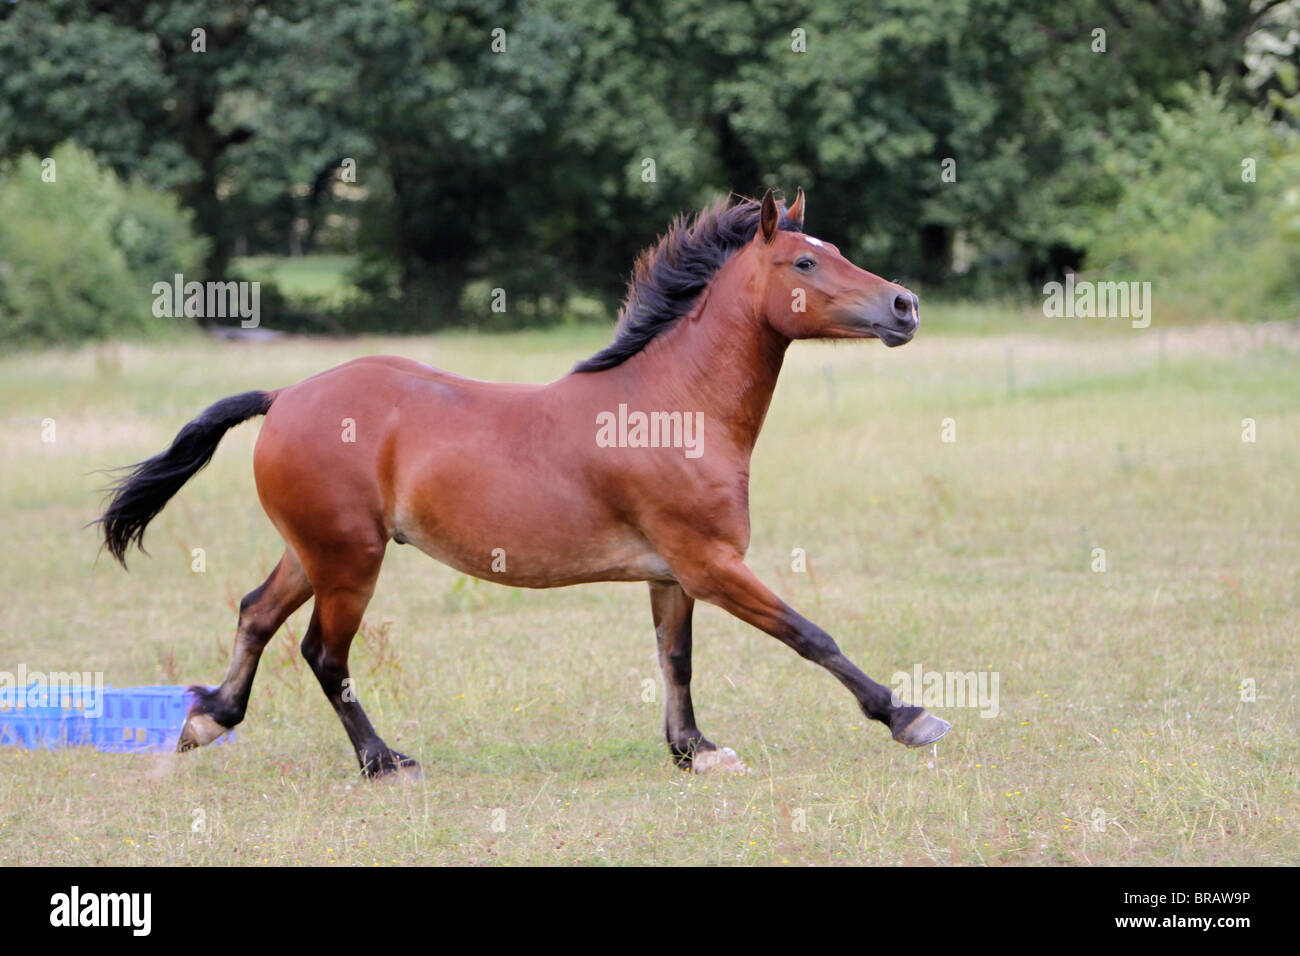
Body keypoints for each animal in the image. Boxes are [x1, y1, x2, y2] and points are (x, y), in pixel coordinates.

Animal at [96, 188, 950, 779]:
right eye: (804, 262)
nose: (906, 304)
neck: (672, 408)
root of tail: (285, 397)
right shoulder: (711, 564)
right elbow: (810, 635)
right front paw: (907, 715)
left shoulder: (672, 574)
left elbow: (676, 661)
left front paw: (695, 751)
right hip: (350, 561)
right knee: (323, 654)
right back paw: (384, 763)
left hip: (315, 551)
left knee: (255, 614)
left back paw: (207, 719)